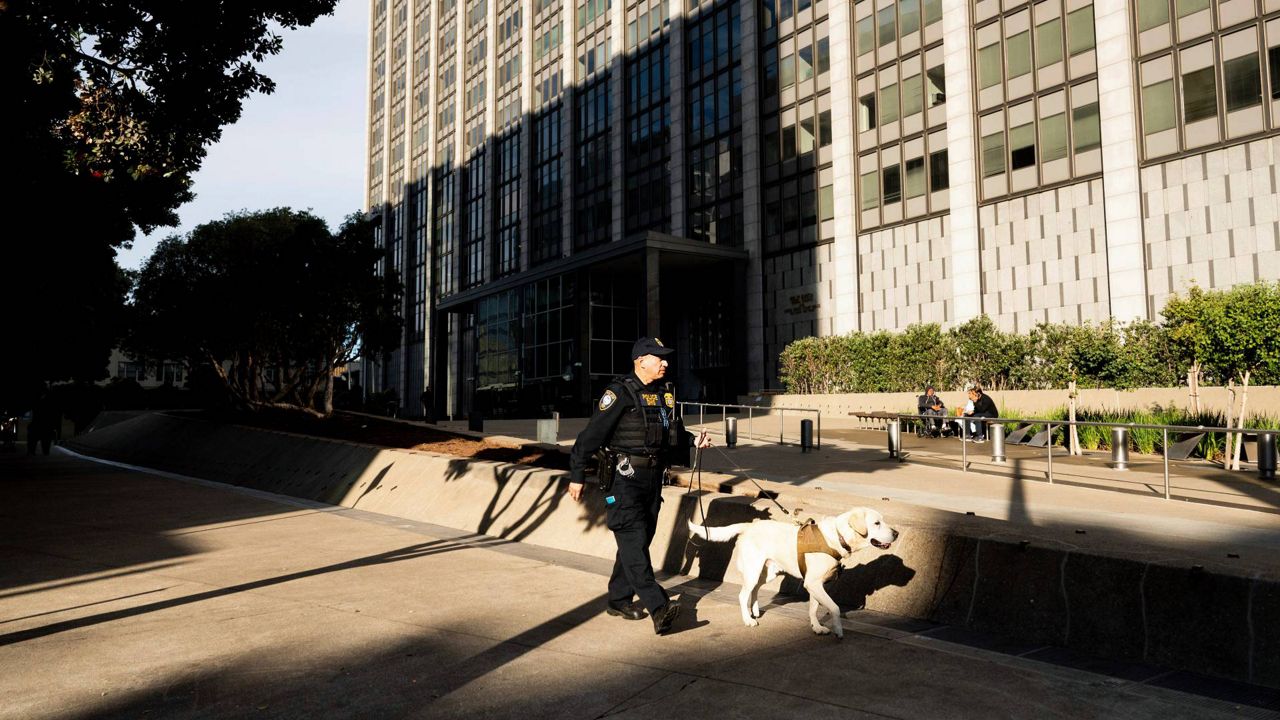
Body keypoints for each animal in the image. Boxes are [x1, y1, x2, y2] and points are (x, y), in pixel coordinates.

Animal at [691, 507, 901, 635]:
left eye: (883, 521)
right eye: (876, 523)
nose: (897, 533)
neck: (838, 536)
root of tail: (749, 525)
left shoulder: (815, 584)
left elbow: (813, 608)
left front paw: (817, 627)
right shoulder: (813, 584)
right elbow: (834, 607)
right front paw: (838, 630)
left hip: (767, 572)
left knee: (755, 589)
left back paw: (755, 611)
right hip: (753, 570)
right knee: (743, 595)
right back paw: (748, 620)